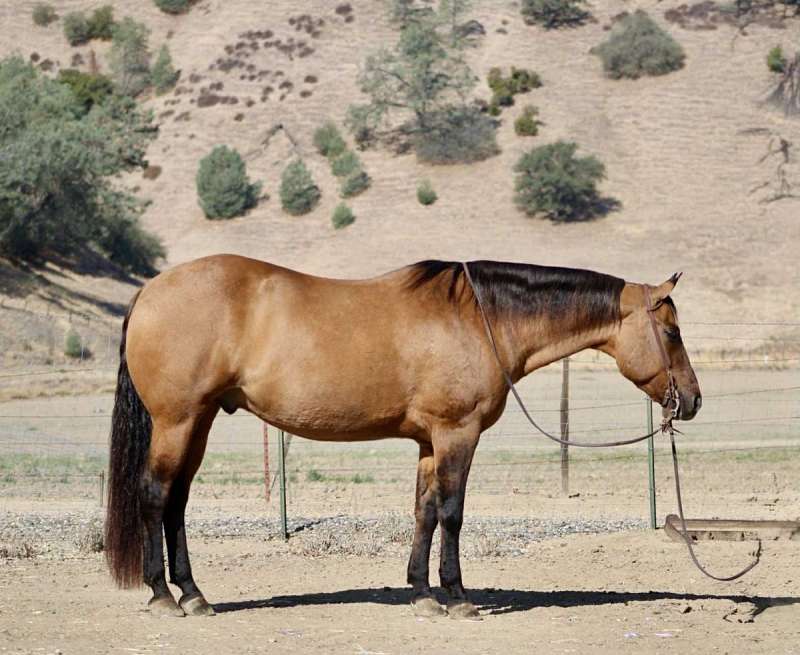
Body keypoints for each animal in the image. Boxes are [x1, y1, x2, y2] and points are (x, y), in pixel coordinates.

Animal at [104, 255, 701, 619]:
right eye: (671, 331)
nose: (692, 401)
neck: (480, 319)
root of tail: (150, 291)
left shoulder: (429, 442)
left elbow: (424, 512)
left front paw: (421, 592)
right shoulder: (457, 434)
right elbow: (453, 513)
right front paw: (457, 596)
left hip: (199, 422)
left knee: (177, 502)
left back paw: (194, 594)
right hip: (178, 421)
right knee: (155, 495)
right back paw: (163, 595)